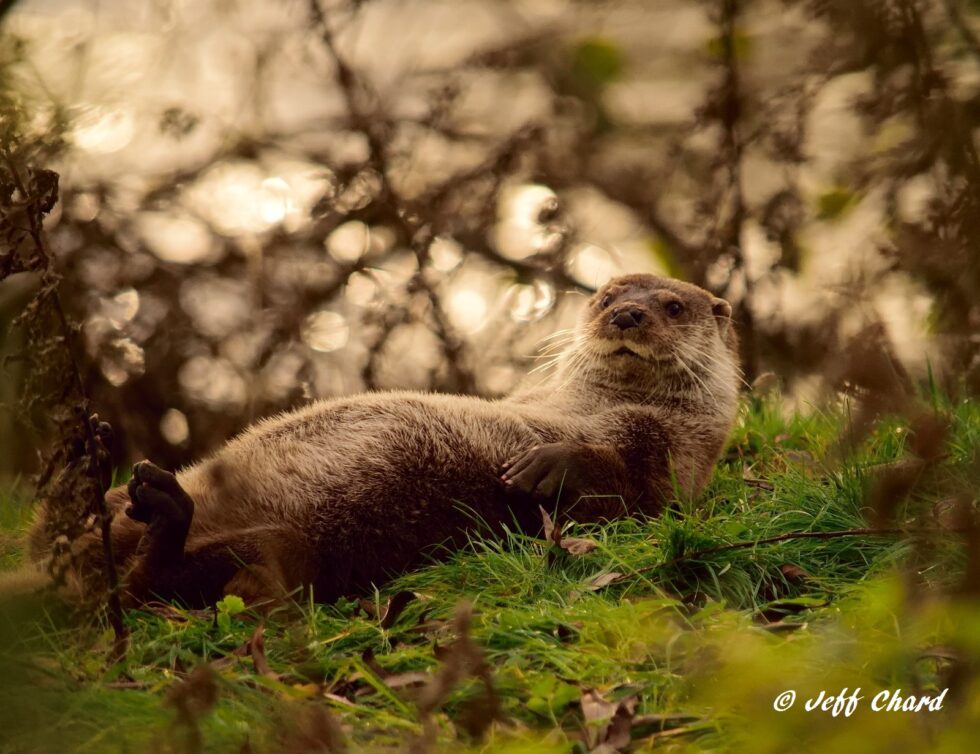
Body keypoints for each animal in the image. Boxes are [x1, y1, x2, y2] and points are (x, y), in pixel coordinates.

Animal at [30, 274, 741, 607]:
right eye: (605, 295)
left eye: (673, 306)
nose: (628, 313)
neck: (587, 403)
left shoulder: (668, 460)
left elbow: (623, 487)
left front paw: (545, 464)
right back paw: (94, 463)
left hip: (288, 551)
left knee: (152, 587)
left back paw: (162, 510)